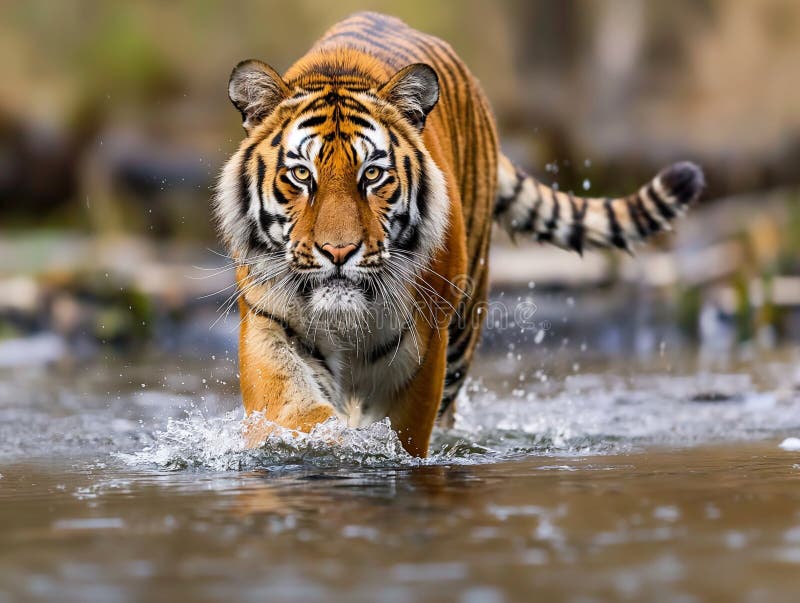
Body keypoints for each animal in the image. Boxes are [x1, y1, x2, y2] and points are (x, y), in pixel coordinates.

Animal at [214, 12, 704, 457]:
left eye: (372, 174)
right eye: (301, 174)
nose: (339, 251)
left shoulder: (425, 347)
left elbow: (405, 433)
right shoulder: (268, 321)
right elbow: (292, 409)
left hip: (465, 323)